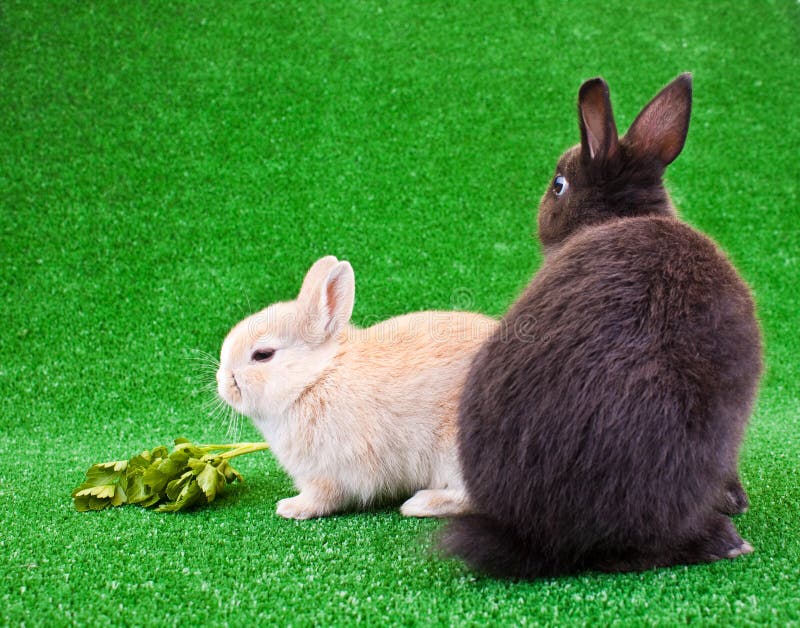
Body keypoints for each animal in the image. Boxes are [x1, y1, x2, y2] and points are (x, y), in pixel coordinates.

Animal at [216, 255, 498, 520]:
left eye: (263, 355)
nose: (222, 382)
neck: (314, 379)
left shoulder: (328, 471)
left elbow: (322, 497)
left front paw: (291, 508)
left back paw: (420, 503)